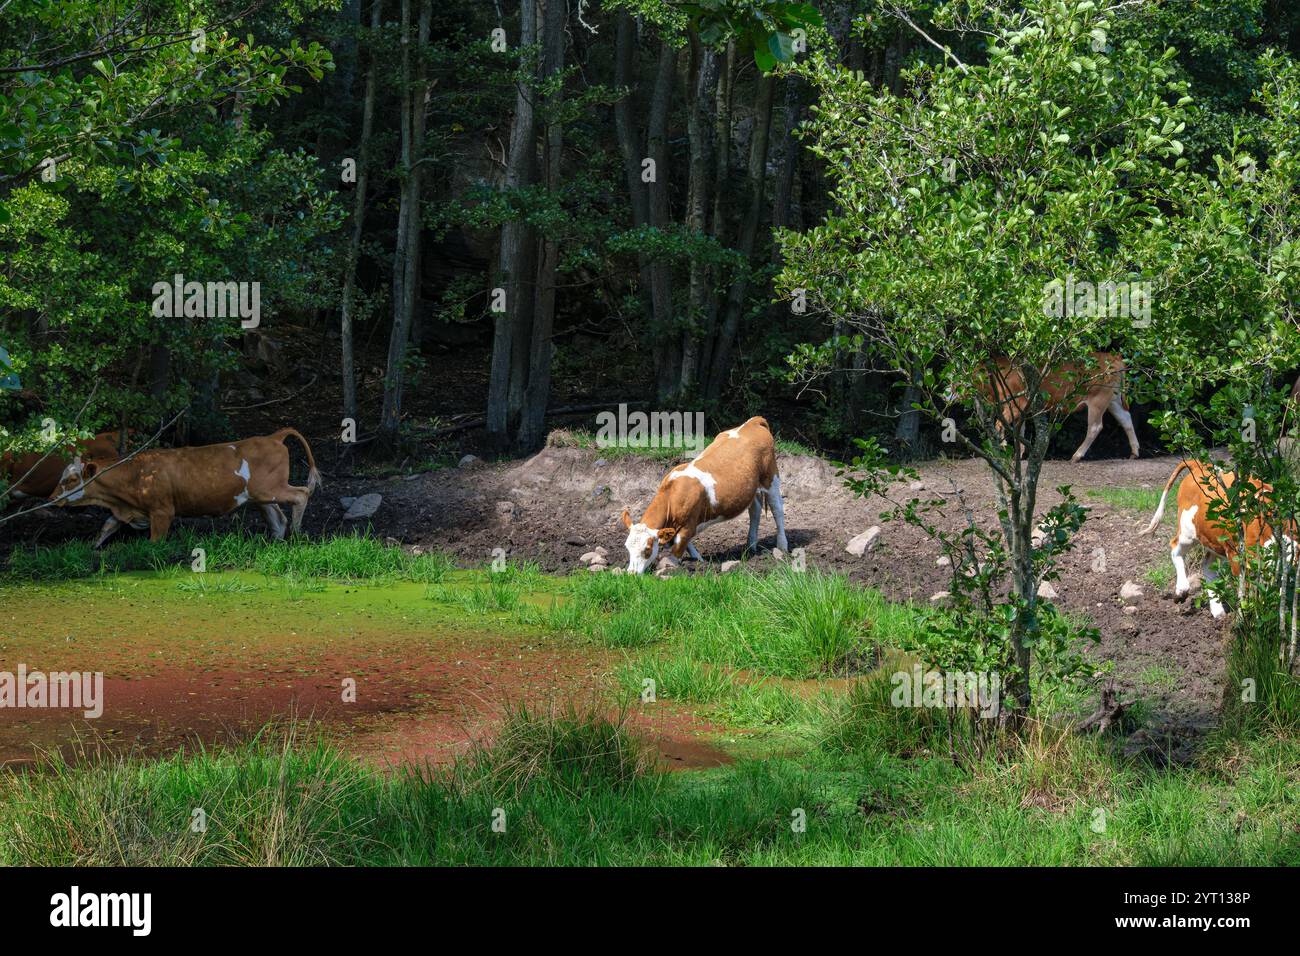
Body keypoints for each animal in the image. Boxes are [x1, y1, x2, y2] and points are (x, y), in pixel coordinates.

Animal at [50, 428, 321, 546]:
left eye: (71, 480)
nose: (51, 497)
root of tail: (272, 437)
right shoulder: (125, 509)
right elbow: (107, 526)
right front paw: (93, 549)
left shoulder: (162, 512)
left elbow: (155, 541)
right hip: (260, 495)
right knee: (277, 518)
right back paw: (275, 543)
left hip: (271, 488)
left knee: (301, 495)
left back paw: (297, 535)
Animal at [620, 416, 789, 574]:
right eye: (627, 547)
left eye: (647, 549)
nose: (631, 574)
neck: (671, 495)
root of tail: (752, 422)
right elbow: (687, 545)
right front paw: (698, 558)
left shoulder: (688, 526)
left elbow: (678, 549)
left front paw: (670, 567)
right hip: (751, 487)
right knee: (755, 511)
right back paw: (751, 546)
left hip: (771, 478)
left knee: (777, 510)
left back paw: (782, 546)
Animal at [966, 351, 1139, 462]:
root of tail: (1113, 356)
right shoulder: (1020, 407)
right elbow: (1019, 429)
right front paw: (1018, 453)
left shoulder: (1015, 403)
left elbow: (1000, 425)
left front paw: (1001, 450)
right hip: (1113, 398)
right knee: (1125, 418)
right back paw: (1135, 452)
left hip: (1098, 398)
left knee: (1095, 426)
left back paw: (1076, 456)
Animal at [1140, 459, 1293, 618]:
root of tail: (1199, 465)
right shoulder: (1237, 555)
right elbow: (1245, 590)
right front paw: (1243, 617)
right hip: (1188, 531)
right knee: (1175, 547)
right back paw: (1182, 589)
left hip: (1213, 540)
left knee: (1207, 565)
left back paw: (1217, 611)